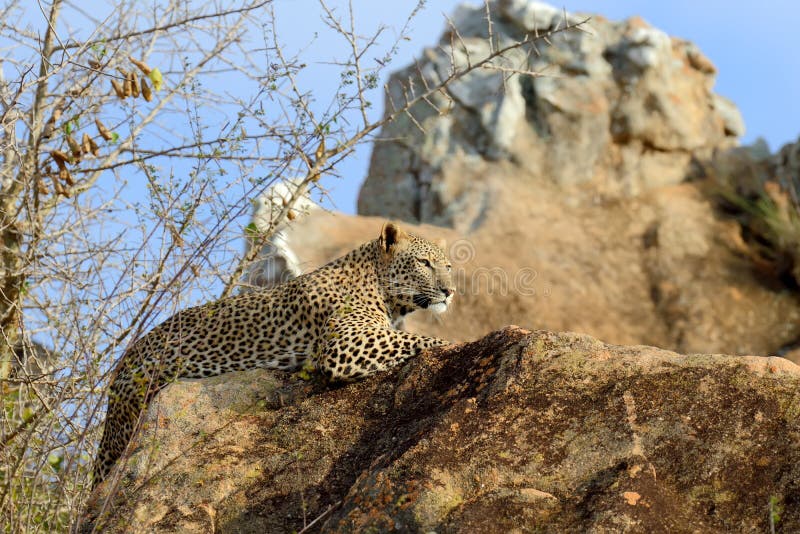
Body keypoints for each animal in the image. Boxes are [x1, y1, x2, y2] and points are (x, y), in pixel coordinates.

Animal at [93, 222, 454, 487]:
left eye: (449, 266)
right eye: (424, 263)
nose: (450, 291)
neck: (381, 291)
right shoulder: (345, 343)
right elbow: (424, 339)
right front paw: (449, 344)